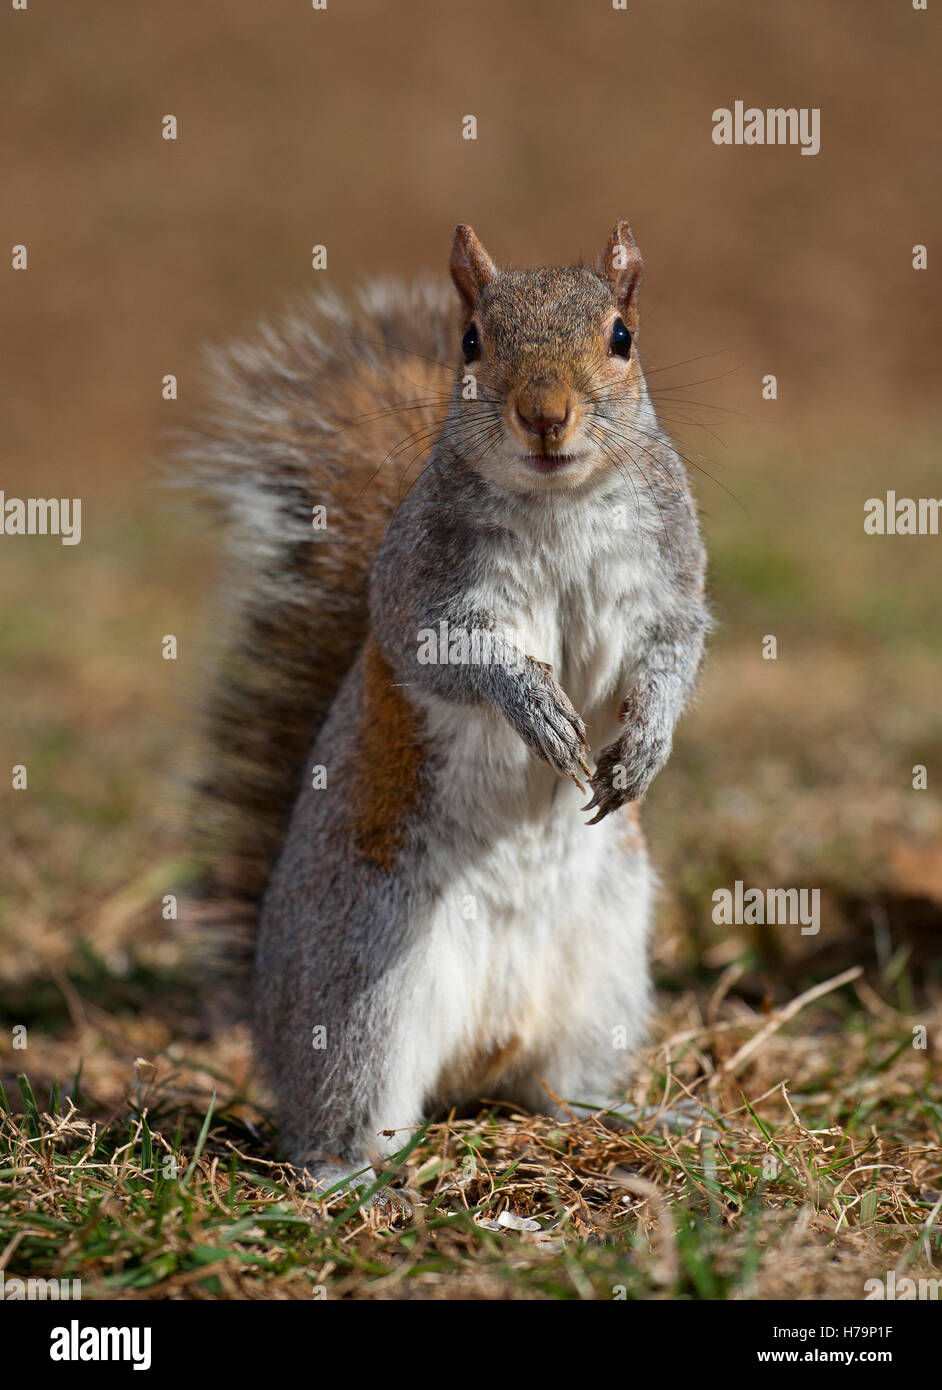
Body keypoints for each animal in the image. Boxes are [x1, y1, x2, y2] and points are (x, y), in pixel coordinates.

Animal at [184, 222, 709, 1189]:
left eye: (623, 337)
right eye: (472, 342)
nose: (545, 415)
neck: (559, 500)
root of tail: (481, 1052)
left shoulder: (670, 581)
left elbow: (675, 652)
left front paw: (647, 741)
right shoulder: (421, 594)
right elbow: (452, 656)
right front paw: (535, 708)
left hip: (607, 971)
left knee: (553, 1084)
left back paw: (630, 1114)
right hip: (360, 987)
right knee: (348, 1106)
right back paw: (343, 1174)